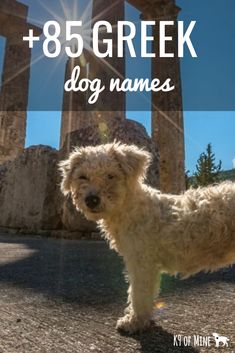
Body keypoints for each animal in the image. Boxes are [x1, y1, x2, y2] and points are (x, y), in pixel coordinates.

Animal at [58, 142, 235, 332]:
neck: (129, 208)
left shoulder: (142, 261)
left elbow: (138, 294)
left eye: (111, 175)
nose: (91, 200)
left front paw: (134, 322)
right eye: (82, 177)